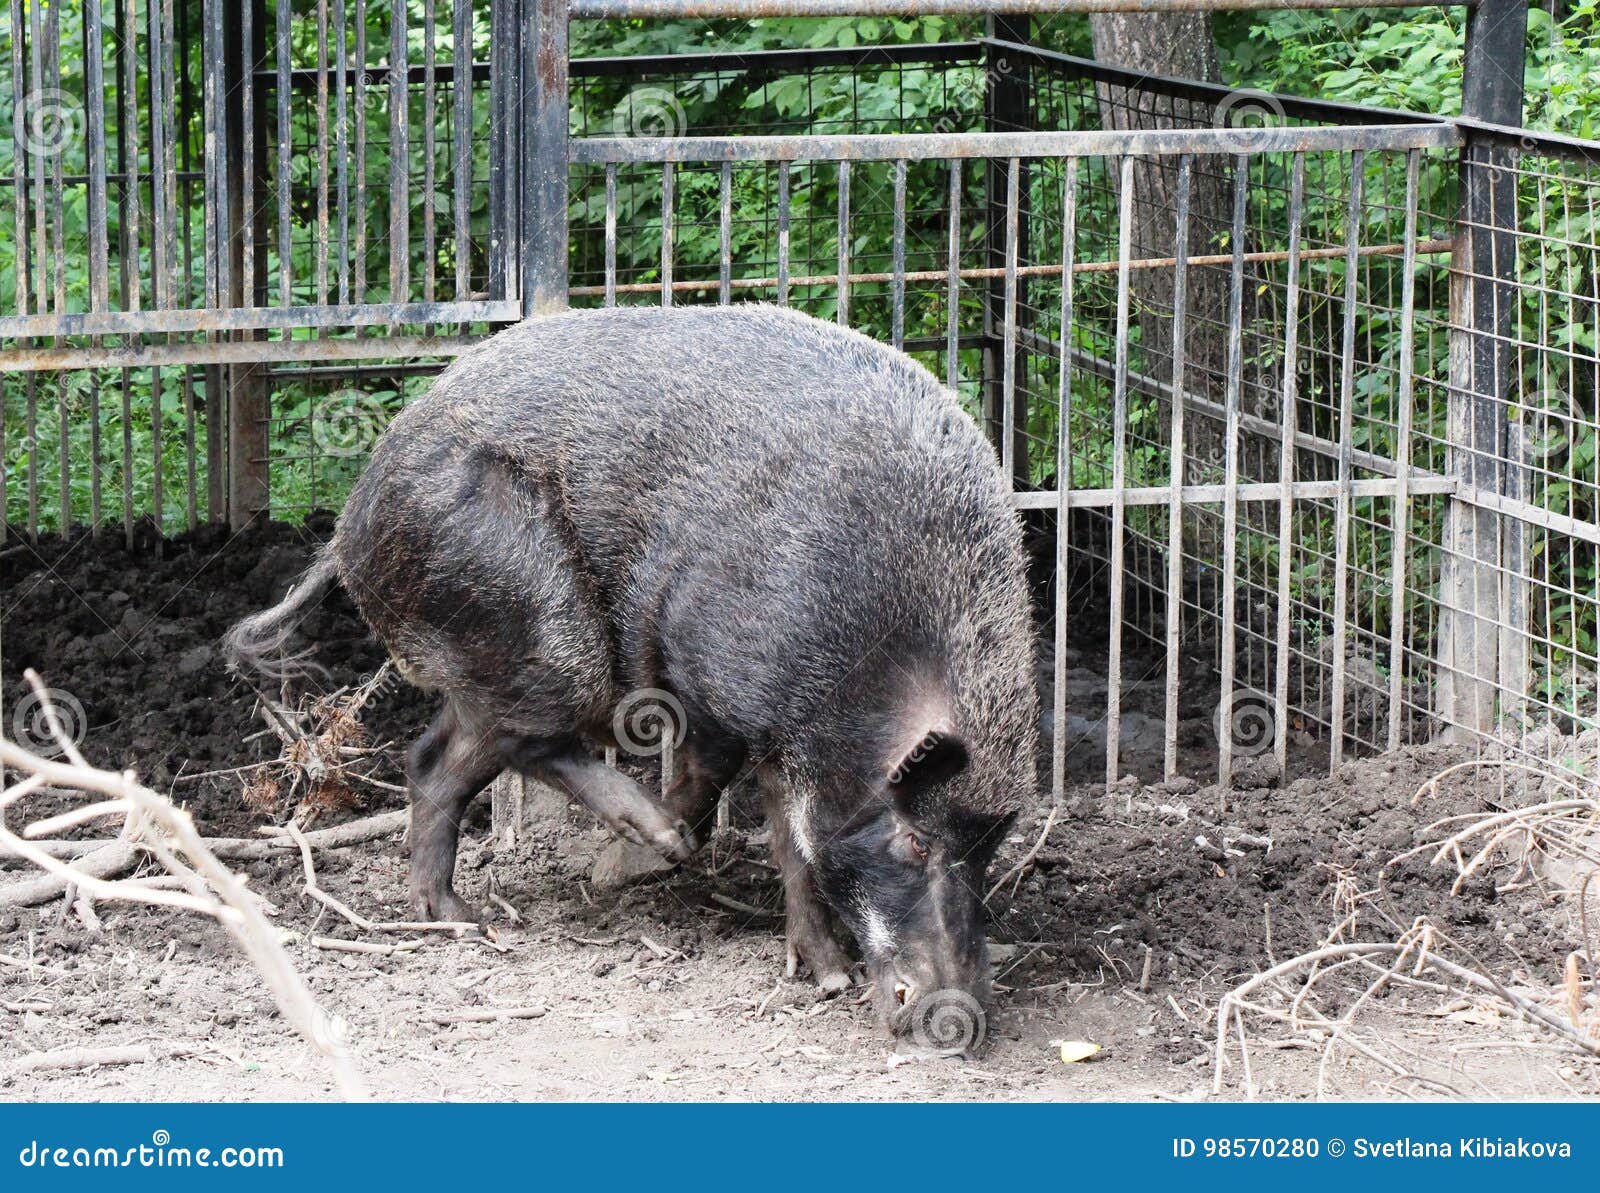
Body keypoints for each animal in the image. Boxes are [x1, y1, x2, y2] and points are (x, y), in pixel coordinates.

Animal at [225, 304, 1038, 1046]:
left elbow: (788, 841)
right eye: (916, 841)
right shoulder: (715, 676)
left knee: (435, 760)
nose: (957, 1017)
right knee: (525, 742)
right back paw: (631, 849)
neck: (886, 648)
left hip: (487, 663)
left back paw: (455, 917)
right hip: (543, 626)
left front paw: (827, 974)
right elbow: (732, 795)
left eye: (989, 850)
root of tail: (349, 521)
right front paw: (641, 863)